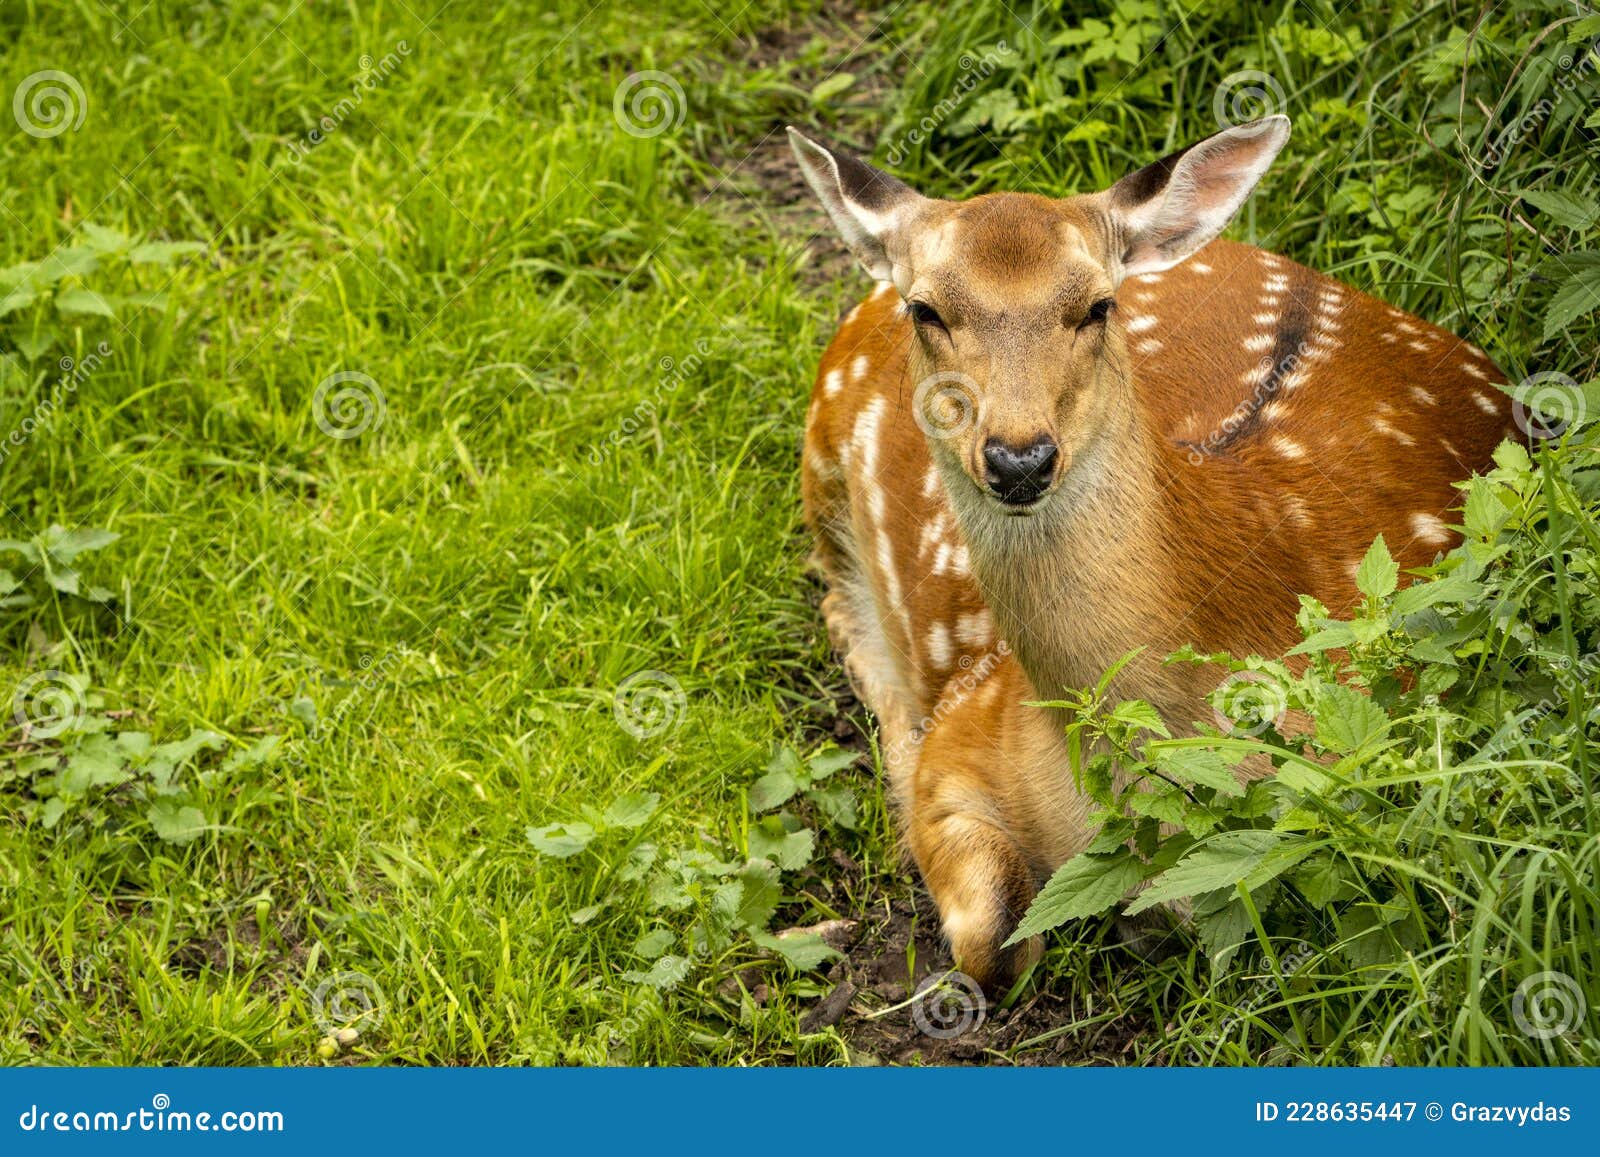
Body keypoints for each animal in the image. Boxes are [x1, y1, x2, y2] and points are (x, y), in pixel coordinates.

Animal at [789, 115, 1516, 991]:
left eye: (1097, 305)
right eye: (926, 308)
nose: (1019, 458)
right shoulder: (963, 730)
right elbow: (992, 939)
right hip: (822, 457)